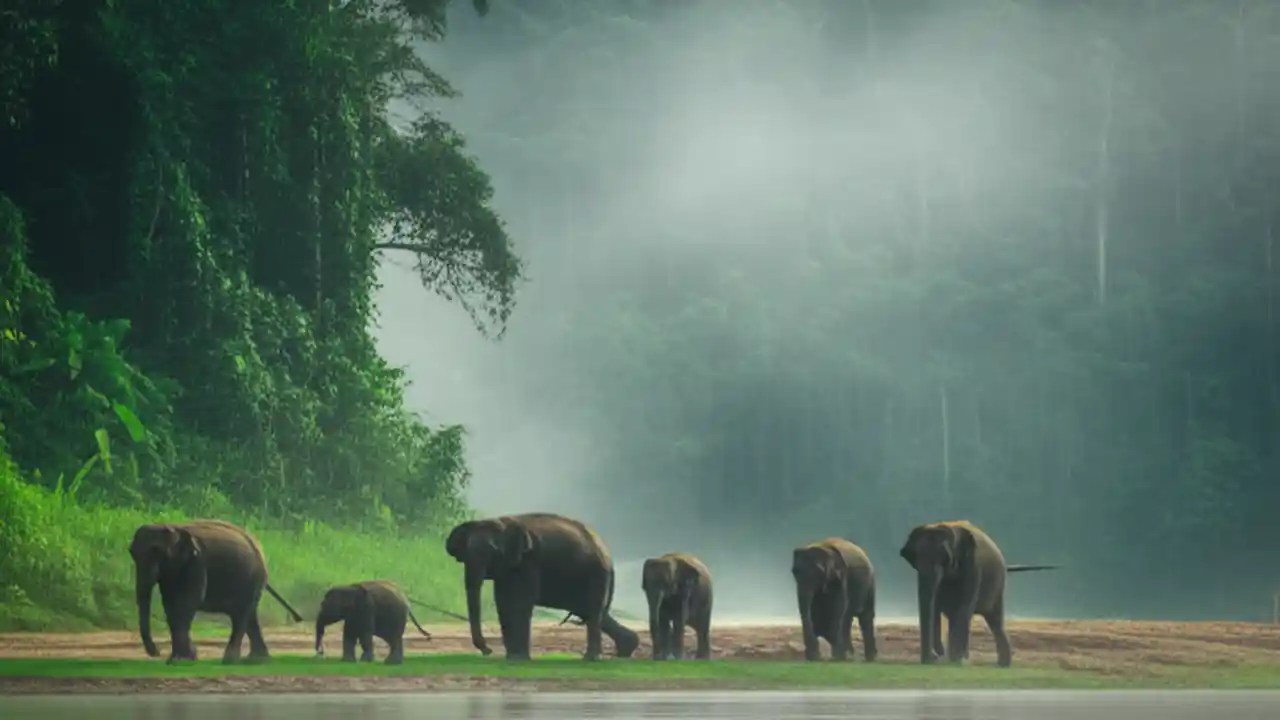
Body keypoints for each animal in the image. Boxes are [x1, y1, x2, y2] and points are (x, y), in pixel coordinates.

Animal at [129, 519, 304, 664]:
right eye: (131, 553)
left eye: (156, 551)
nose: (156, 652)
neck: (174, 527)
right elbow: (170, 605)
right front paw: (184, 658)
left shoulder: (197, 563)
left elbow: (187, 604)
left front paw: (180, 660)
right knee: (249, 615)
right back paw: (257, 659)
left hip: (253, 578)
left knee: (241, 615)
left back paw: (231, 660)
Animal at [445, 512, 640, 661]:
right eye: (464, 555)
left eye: (493, 552)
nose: (488, 651)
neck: (500, 522)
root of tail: (607, 551)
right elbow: (503, 603)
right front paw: (511, 658)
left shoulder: (529, 561)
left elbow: (519, 603)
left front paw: (518, 659)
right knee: (590, 612)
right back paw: (626, 649)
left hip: (596, 574)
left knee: (592, 612)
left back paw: (591, 658)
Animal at [899, 520, 1058, 667]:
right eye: (914, 557)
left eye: (945, 557)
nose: (934, 656)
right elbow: (936, 608)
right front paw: (947, 659)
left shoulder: (974, 566)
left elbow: (963, 607)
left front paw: (956, 661)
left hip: (998, 586)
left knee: (995, 622)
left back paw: (1000, 665)